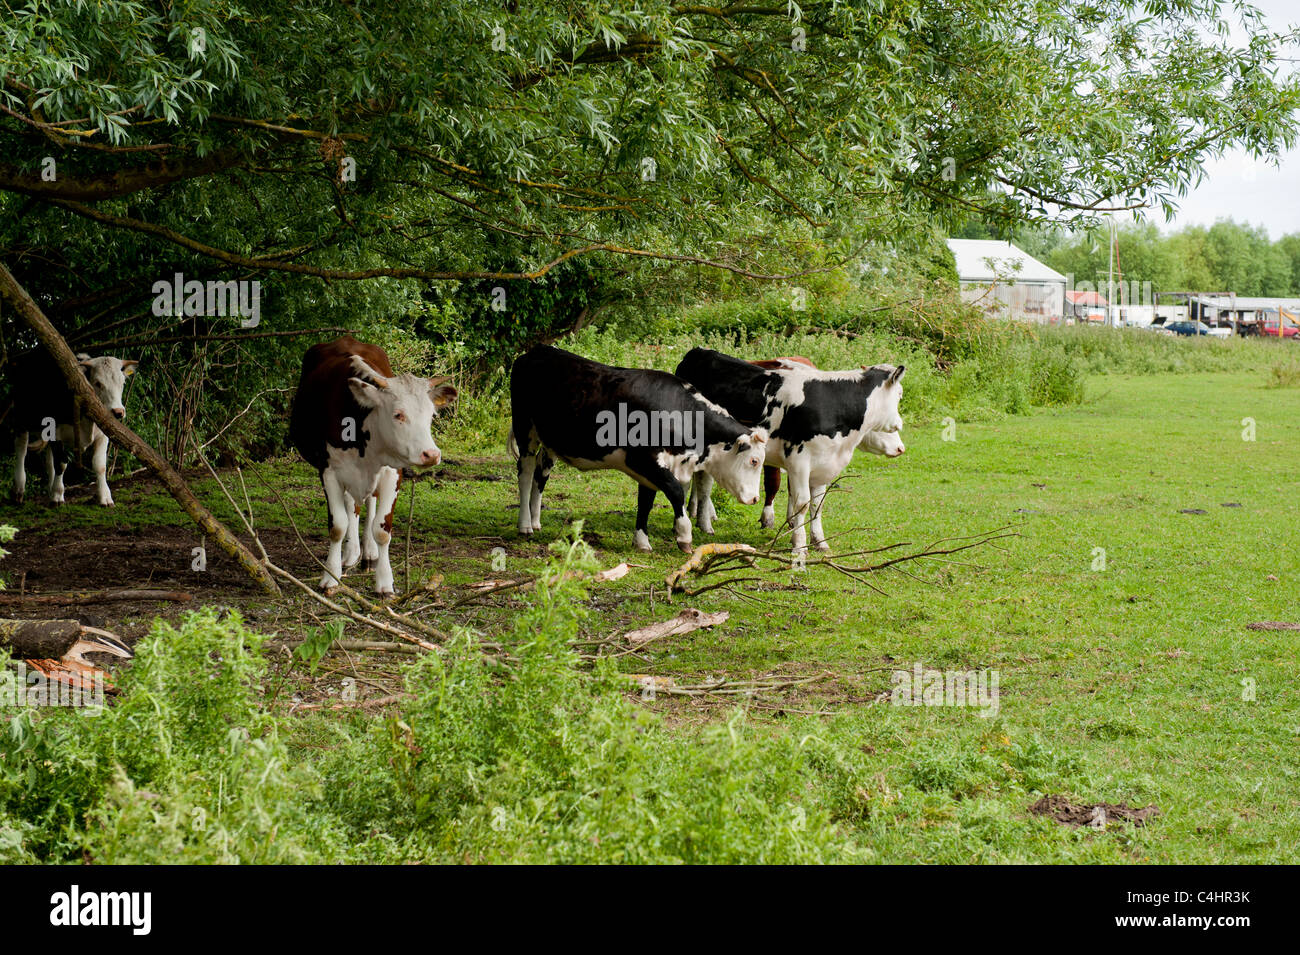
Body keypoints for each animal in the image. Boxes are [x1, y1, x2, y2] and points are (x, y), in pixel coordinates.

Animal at [10, 352, 138, 507]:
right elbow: (61, 463)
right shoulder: (55, 432)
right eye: (97, 383)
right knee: (21, 449)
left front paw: (105, 497)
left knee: (49, 461)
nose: (118, 412)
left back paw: (49, 490)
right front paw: (58, 495)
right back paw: (18, 490)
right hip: (20, 418)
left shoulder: (102, 434)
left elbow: (100, 465)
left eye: (123, 383)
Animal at [289, 336, 457, 595]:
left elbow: (381, 528)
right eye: (398, 414)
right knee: (352, 507)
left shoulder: (393, 472)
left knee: (368, 504)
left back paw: (368, 554)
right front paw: (331, 576)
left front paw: (385, 582)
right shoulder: (329, 472)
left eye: (431, 415)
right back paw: (351, 554)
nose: (431, 454)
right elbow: (338, 525)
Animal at [508, 345, 768, 553]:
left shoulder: (653, 470)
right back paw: (524, 525)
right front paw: (684, 535)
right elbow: (675, 492)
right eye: (754, 461)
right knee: (526, 472)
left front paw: (641, 541)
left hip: (548, 440)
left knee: (541, 473)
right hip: (525, 429)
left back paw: (536, 520)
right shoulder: (643, 460)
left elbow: (646, 503)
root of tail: (537, 351)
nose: (755, 498)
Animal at [675, 347, 905, 555]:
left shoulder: (823, 464)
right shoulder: (799, 461)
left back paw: (704, 523)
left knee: (703, 483)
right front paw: (799, 545)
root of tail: (698, 351)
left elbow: (817, 505)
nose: (900, 444)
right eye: (899, 394)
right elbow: (801, 502)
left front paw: (819, 541)